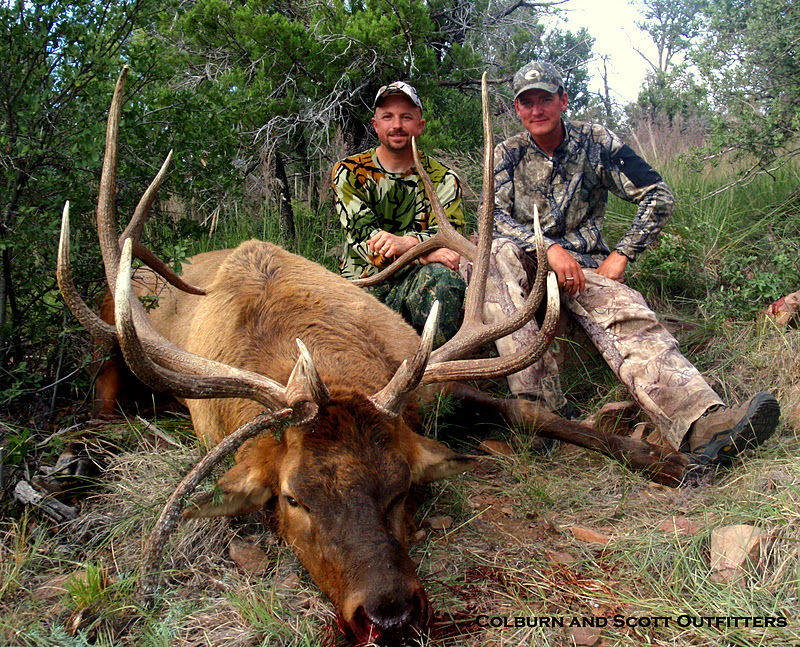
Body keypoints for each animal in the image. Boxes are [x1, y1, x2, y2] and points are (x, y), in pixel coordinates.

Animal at [56, 67, 690, 646]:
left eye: (401, 486)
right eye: (291, 499)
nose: (390, 615)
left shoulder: (426, 373)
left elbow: (532, 411)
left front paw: (666, 459)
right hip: (111, 338)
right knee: (100, 398)